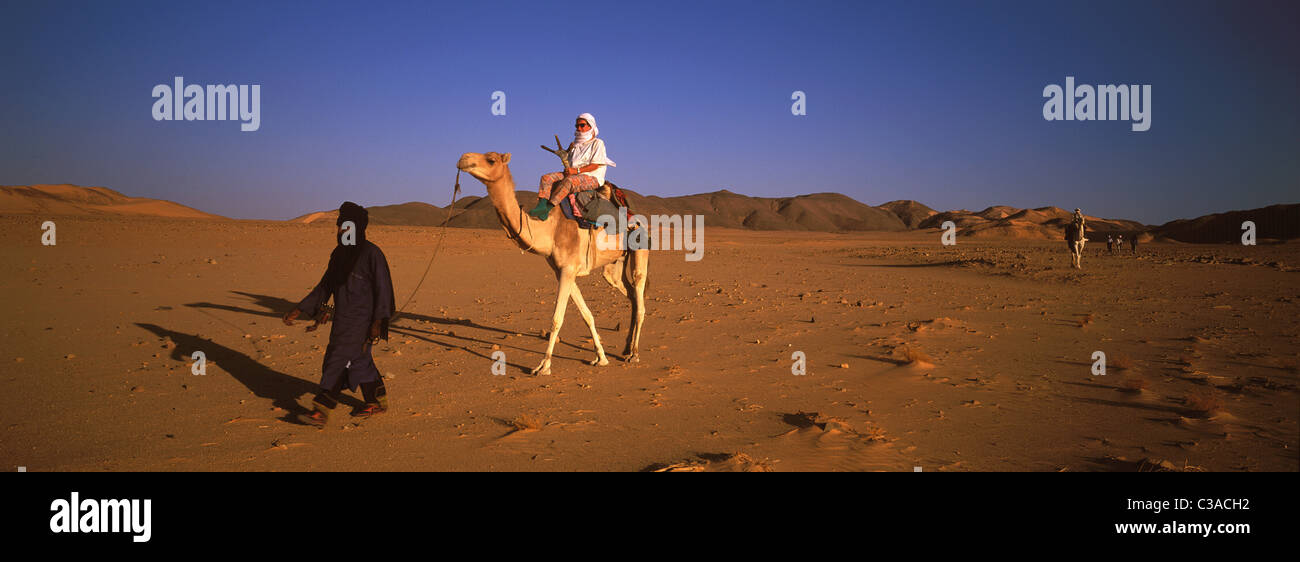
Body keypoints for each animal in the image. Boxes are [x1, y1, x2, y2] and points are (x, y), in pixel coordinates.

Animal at [456, 151, 649, 375]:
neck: (550, 228)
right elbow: (587, 315)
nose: (463, 158)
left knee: (640, 297)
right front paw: (601, 358)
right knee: (630, 295)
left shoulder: (568, 269)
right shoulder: (562, 270)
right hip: (615, 264)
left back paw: (634, 354)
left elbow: (557, 319)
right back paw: (626, 349)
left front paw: (543, 366)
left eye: (491, 160)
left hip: (640, 250)